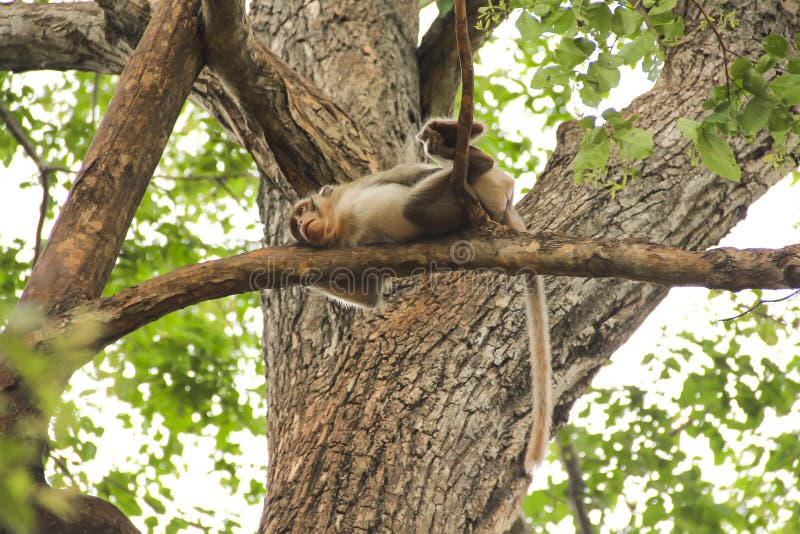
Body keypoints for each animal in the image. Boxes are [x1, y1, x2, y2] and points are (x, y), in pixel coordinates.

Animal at [288, 119, 552, 472]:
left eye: (303, 210)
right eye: (297, 221)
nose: (303, 222)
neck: (341, 222)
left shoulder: (358, 186)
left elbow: (408, 173)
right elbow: (369, 296)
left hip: (493, 185)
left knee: (424, 195)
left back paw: (461, 150)